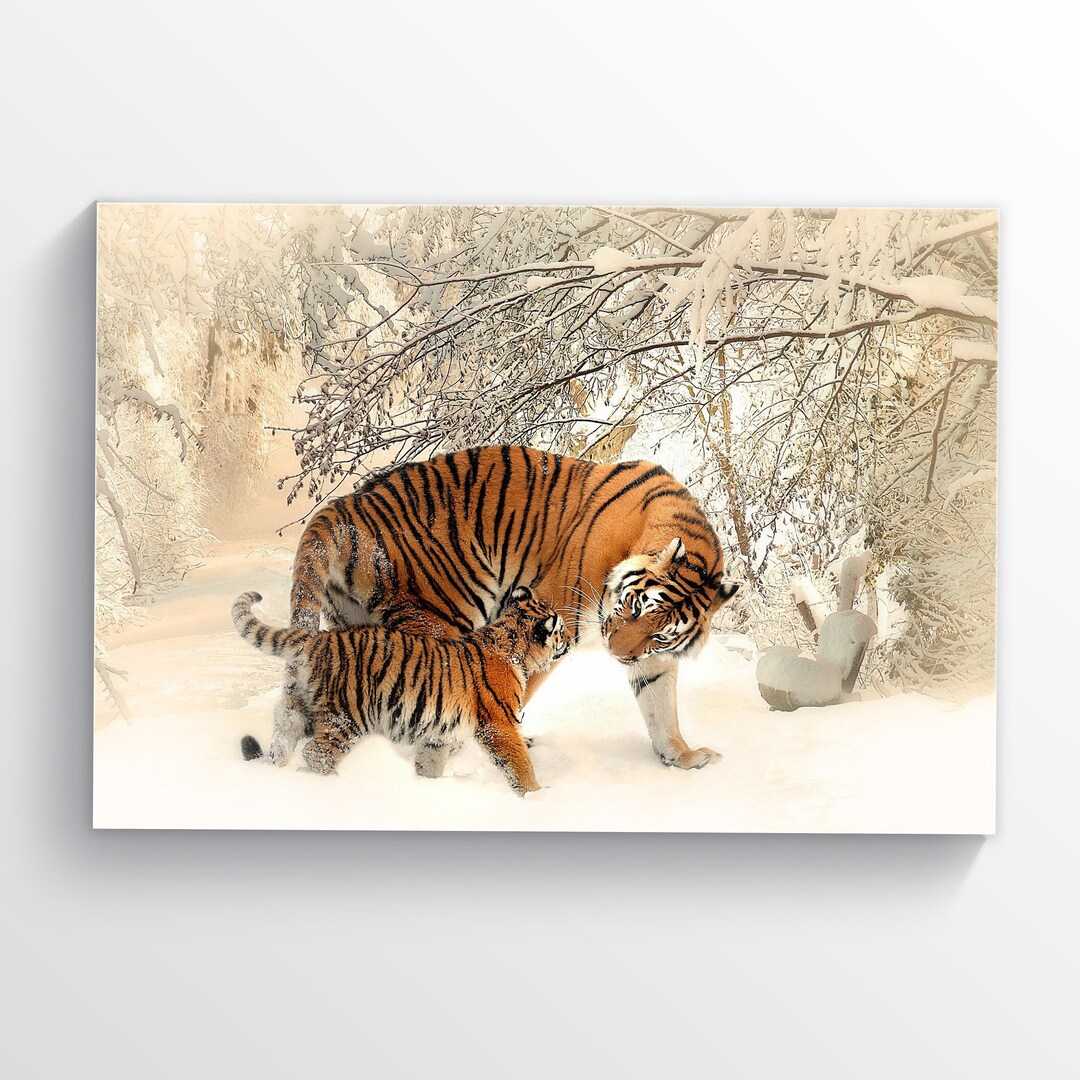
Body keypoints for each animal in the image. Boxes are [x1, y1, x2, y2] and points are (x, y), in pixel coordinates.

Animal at [233, 586, 569, 795]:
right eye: (561, 630)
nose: (568, 642)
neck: (511, 644)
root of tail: (321, 639)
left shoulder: (439, 732)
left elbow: (430, 763)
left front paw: (426, 787)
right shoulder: (499, 724)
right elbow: (519, 763)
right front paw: (536, 796)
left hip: (300, 708)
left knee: (283, 739)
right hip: (347, 716)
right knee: (317, 753)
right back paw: (335, 784)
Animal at [272, 445, 739, 773]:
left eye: (659, 633)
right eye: (634, 607)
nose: (618, 654)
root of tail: (343, 506)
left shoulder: (653, 658)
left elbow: (661, 709)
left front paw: (682, 757)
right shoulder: (553, 617)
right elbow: (513, 688)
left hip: (351, 627)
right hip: (439, 616)